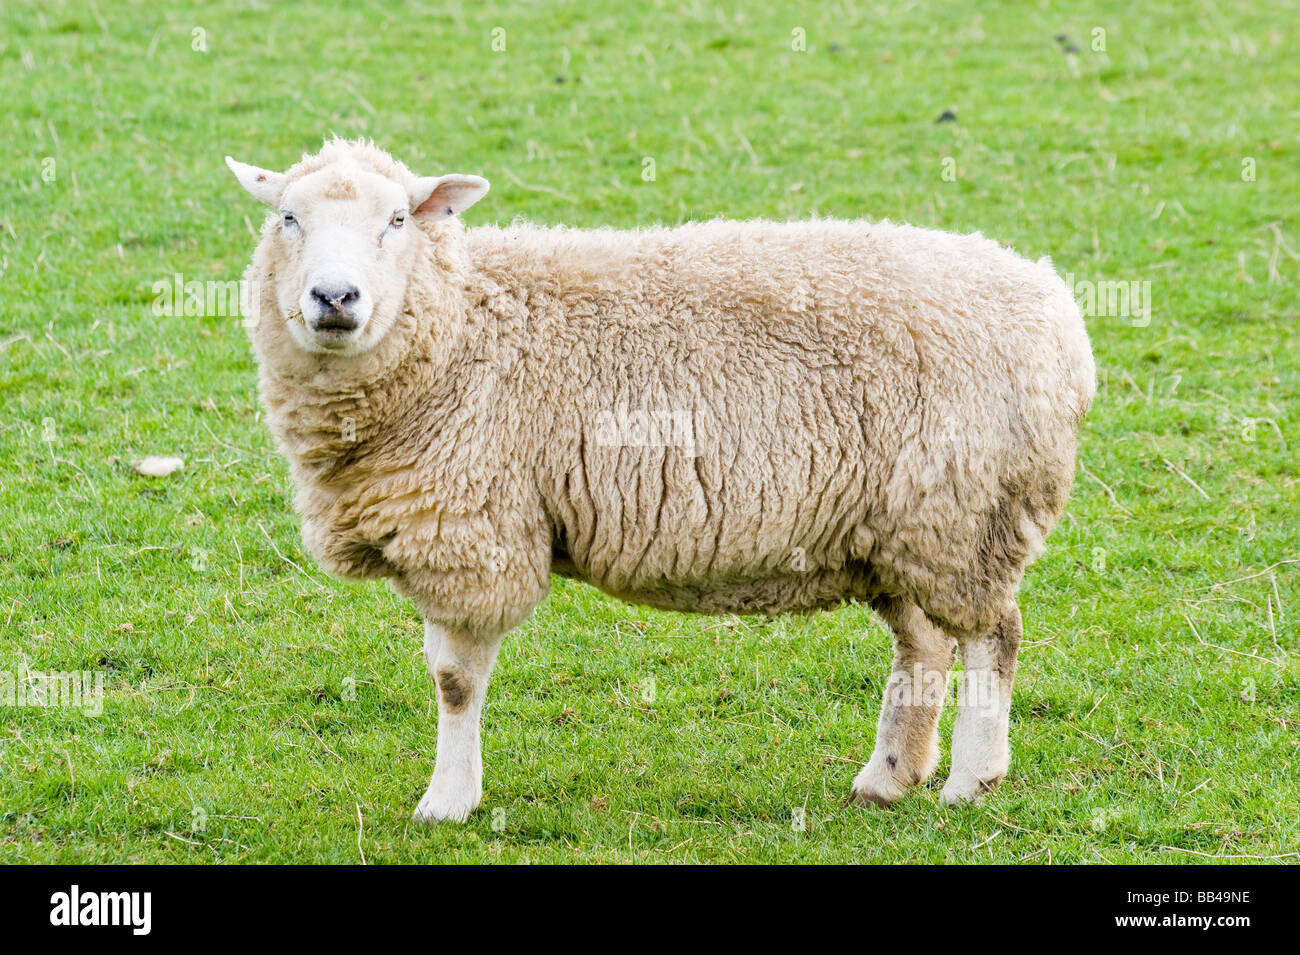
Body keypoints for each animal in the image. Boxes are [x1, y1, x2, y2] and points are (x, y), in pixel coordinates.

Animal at [225, 139, 1095, 822]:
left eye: (399, 220)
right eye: (288, 218)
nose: (335, 296)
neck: (462, 325)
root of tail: (1059, 314)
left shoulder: (475, 530)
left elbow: (454, 682)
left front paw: (447, 801)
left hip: (964, 514)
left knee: (992, 635)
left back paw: (971, 780)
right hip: (897, 529)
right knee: (923, 644)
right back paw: (885, 777)